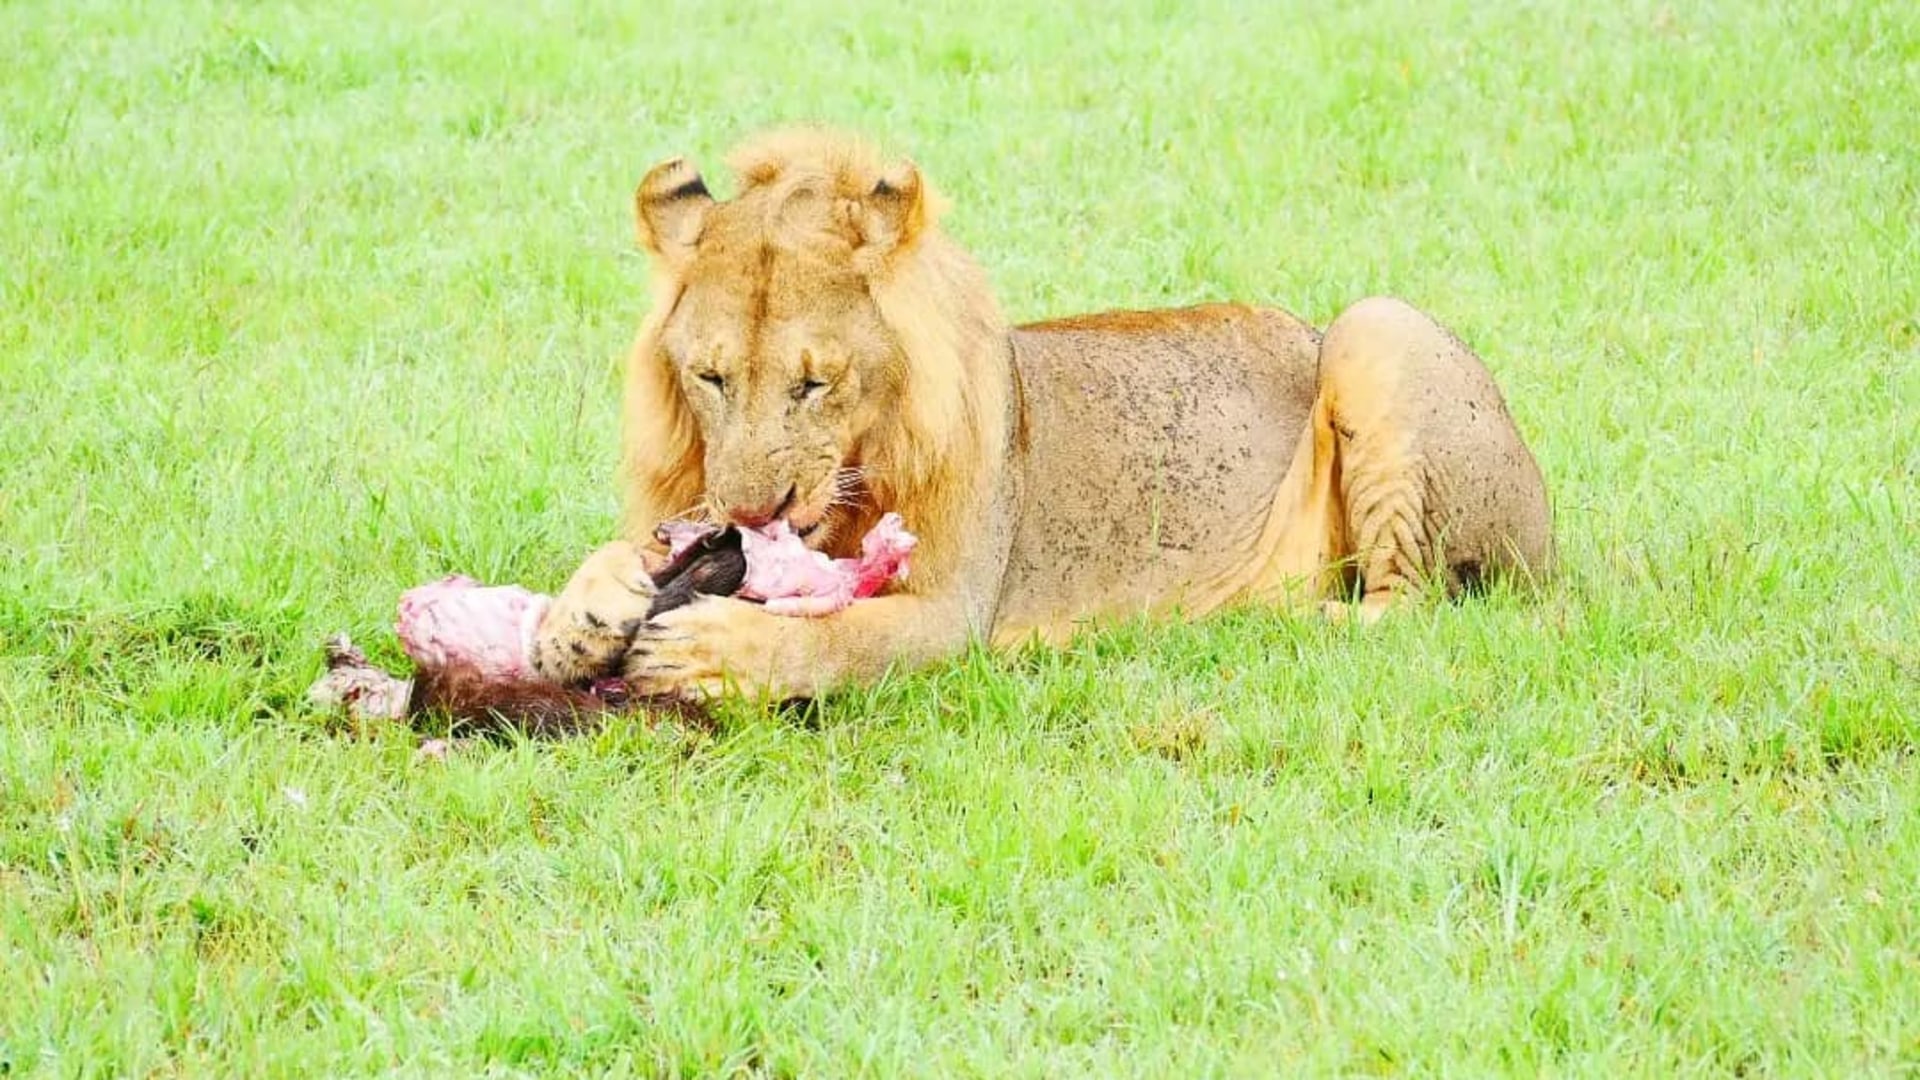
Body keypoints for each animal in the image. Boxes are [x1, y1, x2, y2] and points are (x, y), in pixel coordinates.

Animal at [529, 129, 1553, 700]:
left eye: (815, 385)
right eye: (709, 378)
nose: (749, 517)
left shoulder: (956, 611)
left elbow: (834, 641)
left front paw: (712, 650)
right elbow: (624, 554)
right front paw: (575, 616)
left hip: (1377, 329)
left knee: (1409, 606)